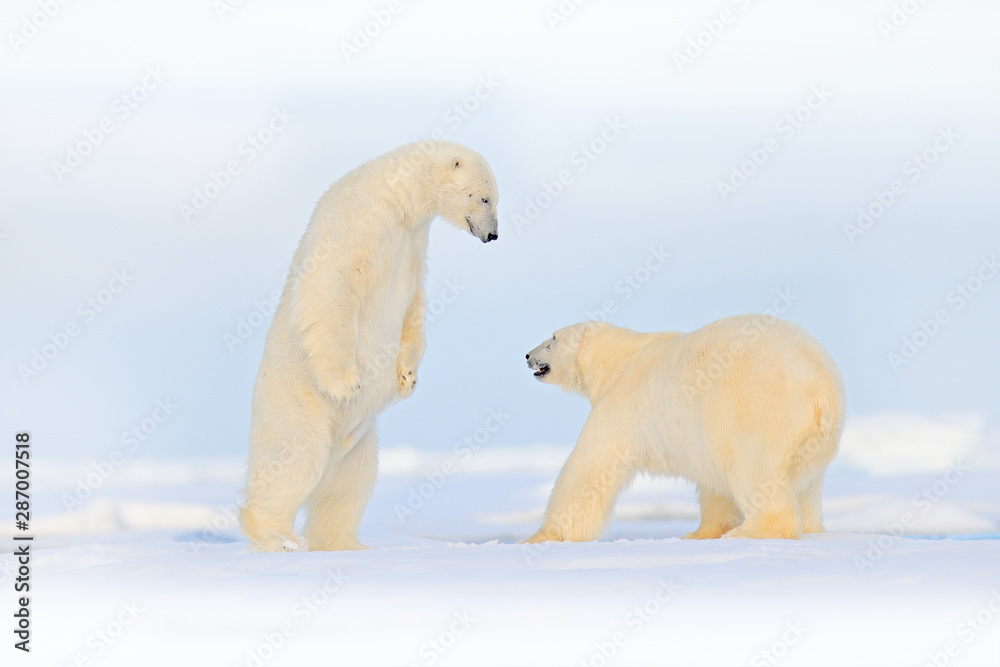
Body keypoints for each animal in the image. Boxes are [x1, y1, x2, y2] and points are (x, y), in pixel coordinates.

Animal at [240, 140, 499, 552]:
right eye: (486, 197)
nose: (493, 235)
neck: (399, 199)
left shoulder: (413, 241)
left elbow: (414, 303)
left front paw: (407, 377)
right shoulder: (360, 217)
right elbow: (332, 281)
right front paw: (347, 382)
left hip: (359, 442)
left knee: (348, 485)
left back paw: (346, 543)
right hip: (296, 402)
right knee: (295, 459)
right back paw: (280, 538)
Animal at [522, 316, 844, 542]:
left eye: (553, 338)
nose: (527, 355)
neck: (618, 362)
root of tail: (820, 384)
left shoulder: (621, 405)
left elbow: (587, 467)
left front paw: (539, 537)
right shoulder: (707, 431)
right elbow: (715, 488)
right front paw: (701, 533)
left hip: (758, 412)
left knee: (755, 473)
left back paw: (747, 532)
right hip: (817, 439)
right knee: (807, 487)